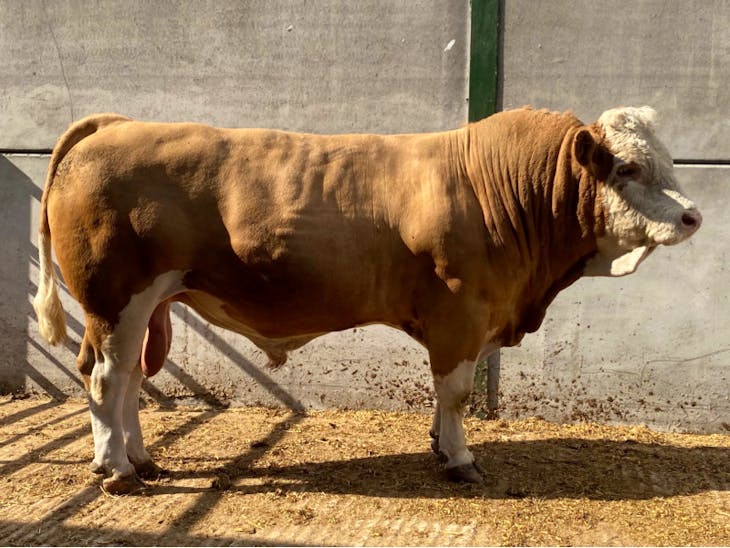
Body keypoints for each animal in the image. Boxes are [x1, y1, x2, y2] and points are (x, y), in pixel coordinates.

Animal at [33, 106, 701, 495]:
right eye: (628, 168)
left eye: (668, 161)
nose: (693, 216)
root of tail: (116, 123)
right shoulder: (461, 311)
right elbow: (457, 391)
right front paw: (459, 458)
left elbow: (445, 392)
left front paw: (438, 443)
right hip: (116, 298)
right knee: (105, 378)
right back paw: (117, 471)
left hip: (147, 304)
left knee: (127, 380)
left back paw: (142, 460)